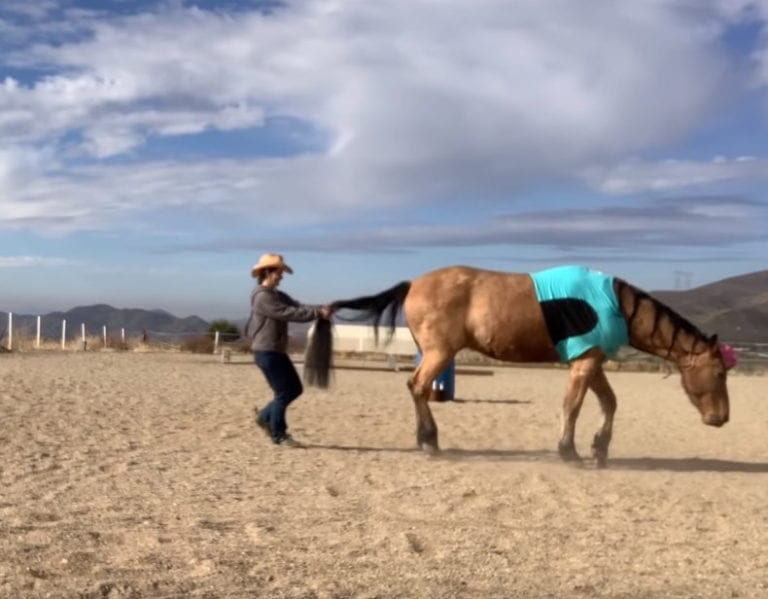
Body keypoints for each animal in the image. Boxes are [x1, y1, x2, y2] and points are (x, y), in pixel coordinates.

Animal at [308, 265, 735, 467]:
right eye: (718, 373)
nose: (722, 418)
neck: (614, 303)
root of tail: (413, 283)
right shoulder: (583, 363)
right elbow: (573, 407)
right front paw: (570, 452)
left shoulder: (593, 362)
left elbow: (609, 405)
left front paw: (599, 449)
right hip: (439, 354)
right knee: (418, 387)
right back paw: (429, 441)